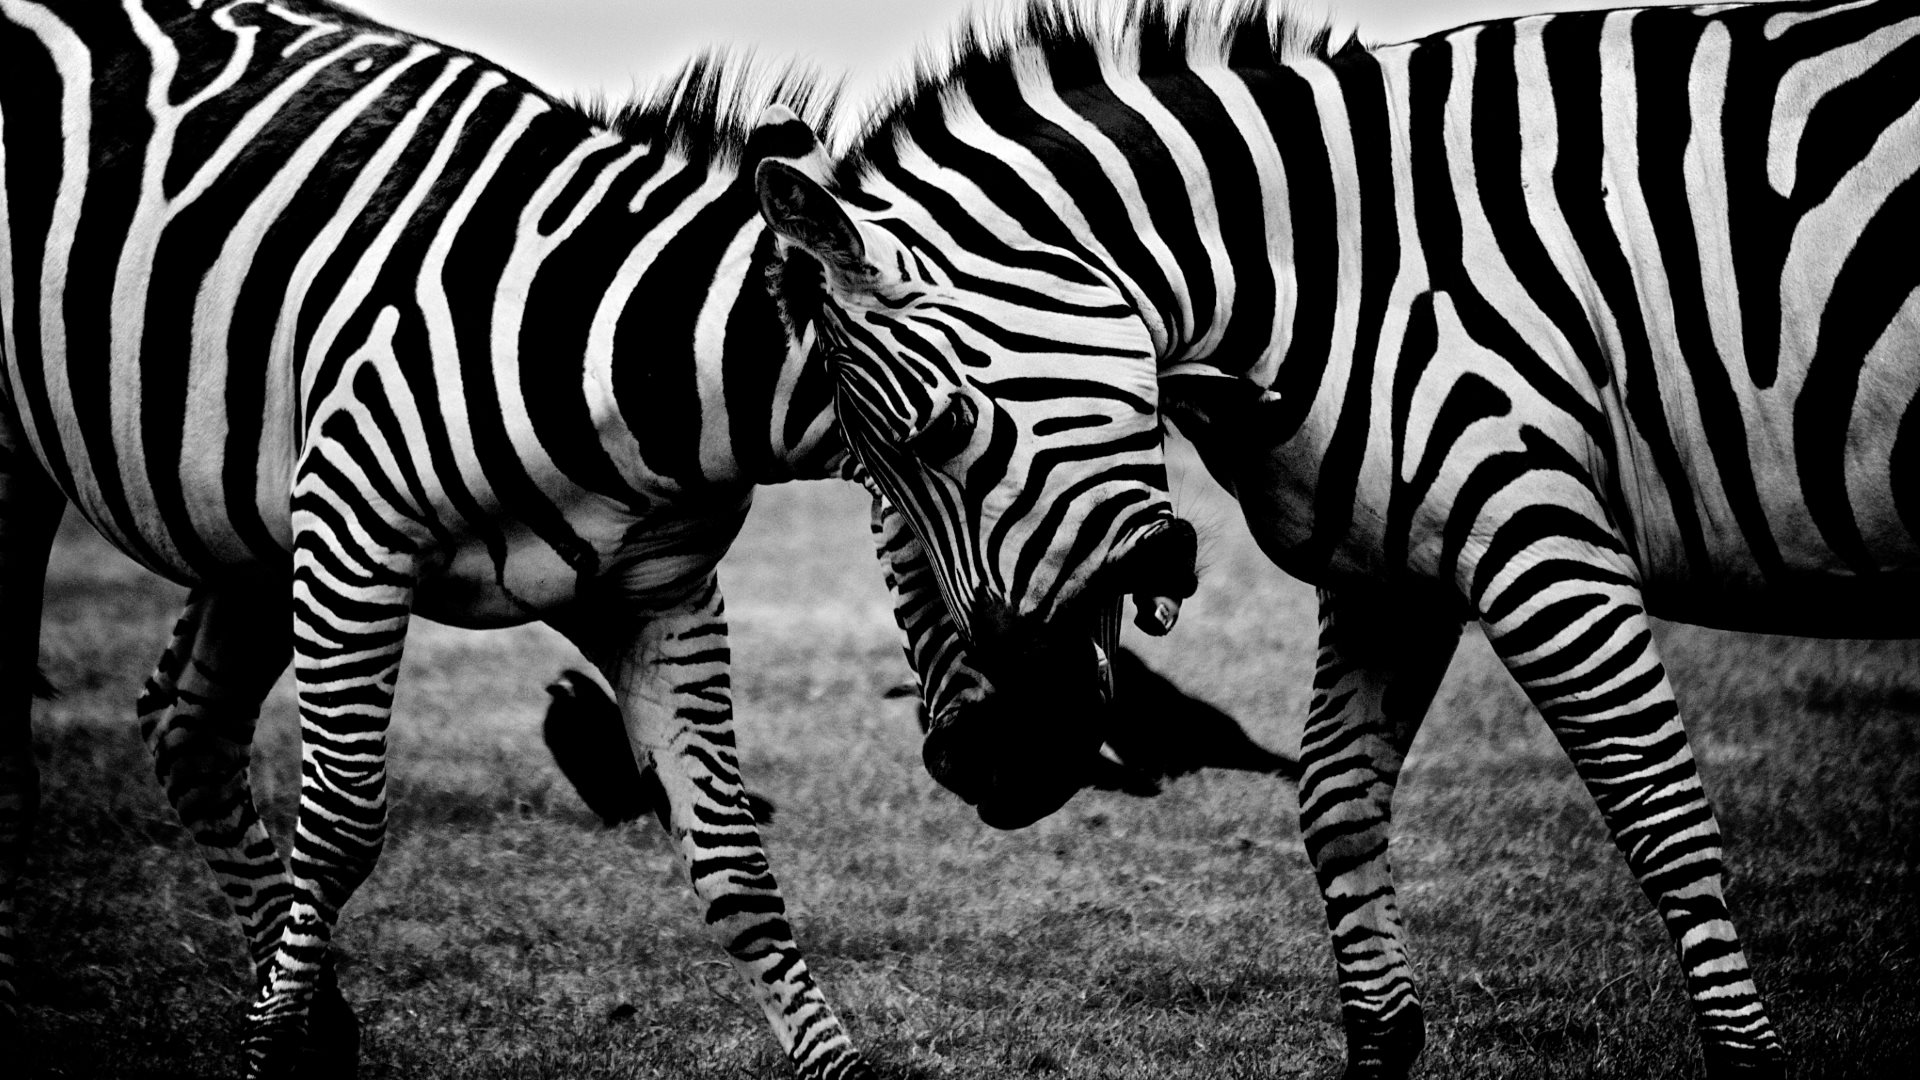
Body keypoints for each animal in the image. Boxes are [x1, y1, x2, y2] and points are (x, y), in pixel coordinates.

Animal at [0, 2, 1047, 1076]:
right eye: (946, 445)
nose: (1032, 770)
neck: (637, 358)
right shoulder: (349, 529)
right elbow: (340, 826)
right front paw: (269, 1054)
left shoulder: (654, 594)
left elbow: (730, 856)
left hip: (248, 524)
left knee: (187, 727)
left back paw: (315, 1017)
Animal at [747, 0, 1920, 1075]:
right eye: (866, 479)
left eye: (942, 431)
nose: (978, 761)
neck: (1347, 271)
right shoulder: (1391, 572)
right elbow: (1334, 799)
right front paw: (1381, 1037)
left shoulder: (1539, 535)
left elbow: (1659, 812)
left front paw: (1746, 1058)